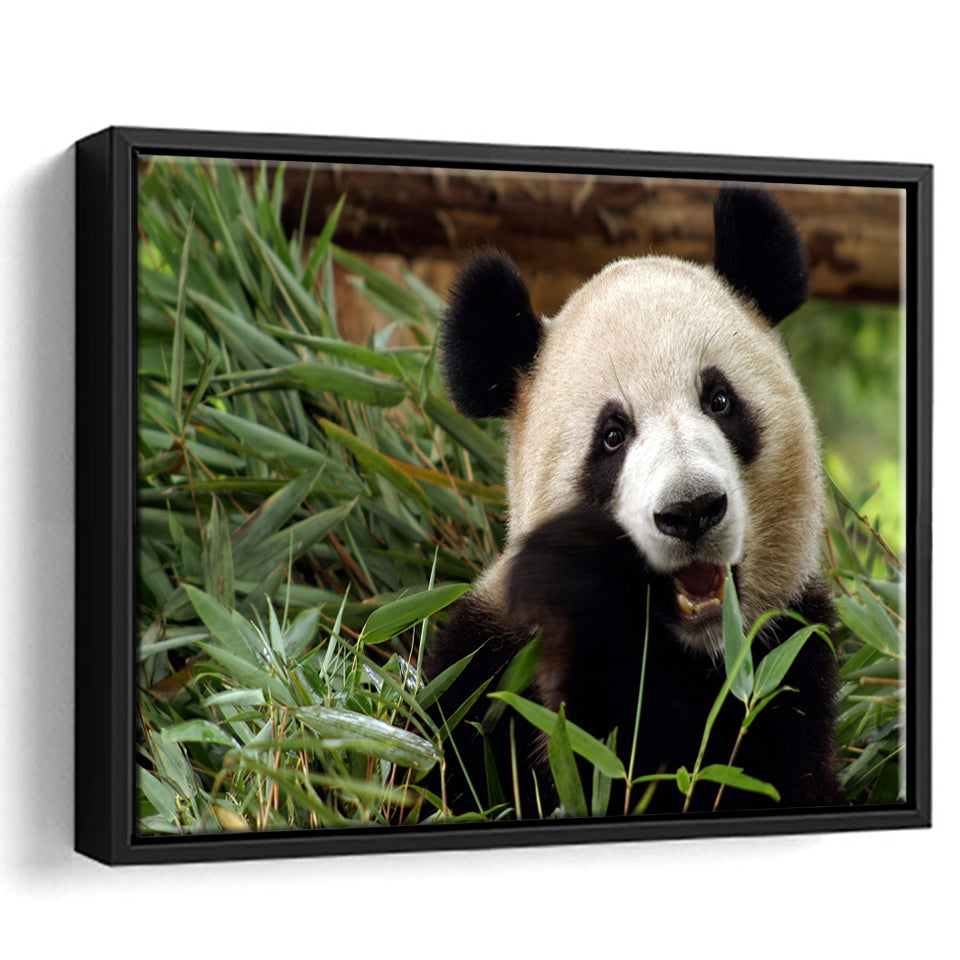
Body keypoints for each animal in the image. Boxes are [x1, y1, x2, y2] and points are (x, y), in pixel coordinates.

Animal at [425, 187, 841, 816]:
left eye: (720, 400)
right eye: (612, 436)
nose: (691, 510)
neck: (693, 652)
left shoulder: (789, 663)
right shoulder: (486, 671)